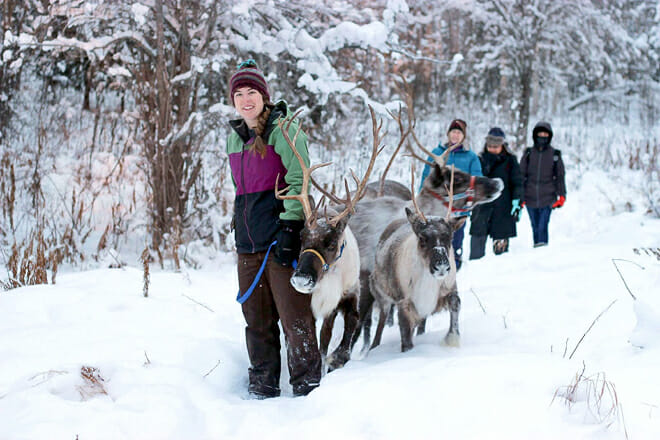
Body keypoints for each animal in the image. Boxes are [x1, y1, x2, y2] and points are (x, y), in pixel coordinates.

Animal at [275, 106, 383, 372]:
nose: (301, 279)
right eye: (301, 237)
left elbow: (347, 328)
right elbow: (313, 342)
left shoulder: (347, 296)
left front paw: (336, 359)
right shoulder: (312, 305)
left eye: (332, 243)